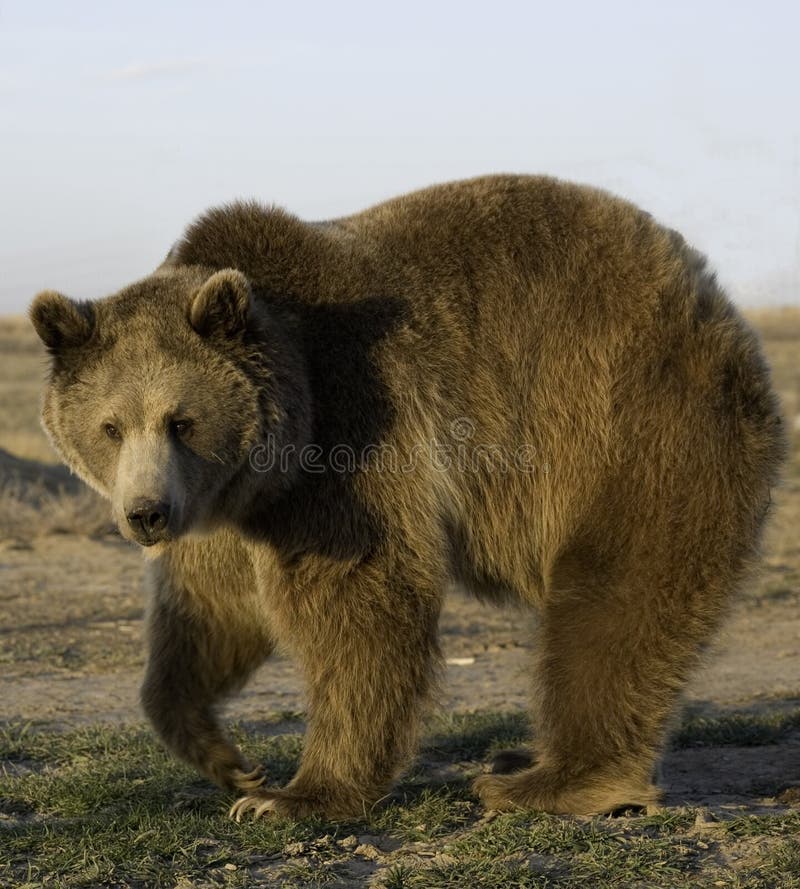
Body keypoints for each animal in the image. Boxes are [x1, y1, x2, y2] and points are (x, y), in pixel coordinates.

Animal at [30, 174, 785, 820]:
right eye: (110, 426)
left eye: (180, 420)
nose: (145, 514)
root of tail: (714, 304)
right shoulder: (230, 504)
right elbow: (209, 609)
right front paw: (226, 758)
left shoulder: (353, 430)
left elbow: (358, 597)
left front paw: (297, 794)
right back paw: (526, 758)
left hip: (628, 422)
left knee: (613, 597)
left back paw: (551, 779)